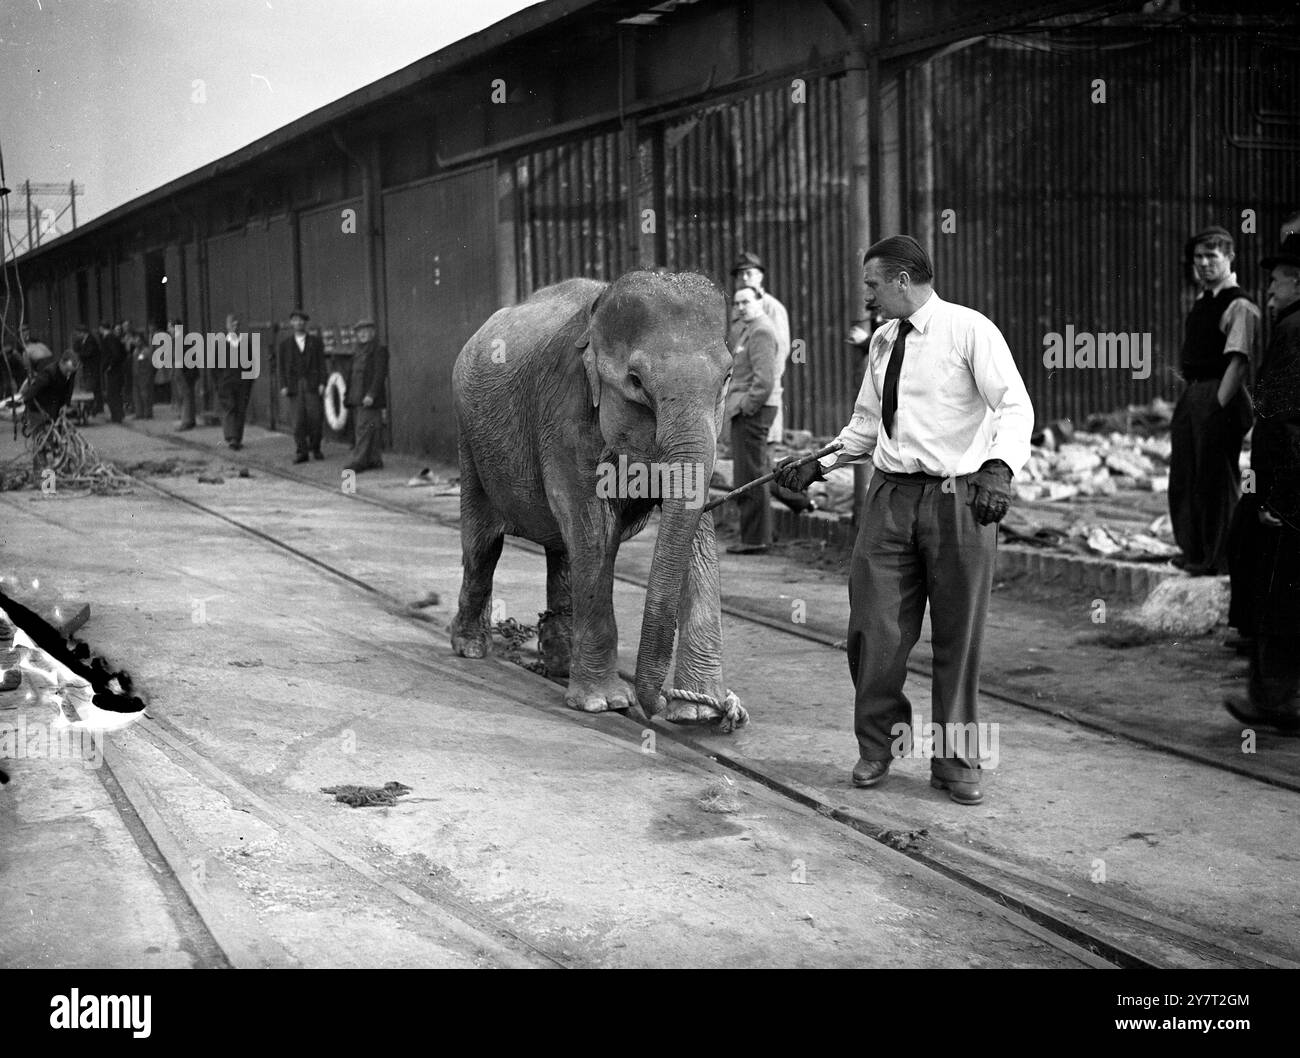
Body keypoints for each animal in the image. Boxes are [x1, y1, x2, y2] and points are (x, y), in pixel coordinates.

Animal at [449, 270, 748, 730]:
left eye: (728, 377)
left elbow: (695, 532)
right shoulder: (564, 417)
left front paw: (697, 711)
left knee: (561, 551)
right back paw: (469, 648)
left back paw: (557, 665)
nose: (656, 705)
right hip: (470, 443)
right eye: (636, 382)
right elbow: (592, 526)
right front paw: (604, 704)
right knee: (485, 547)